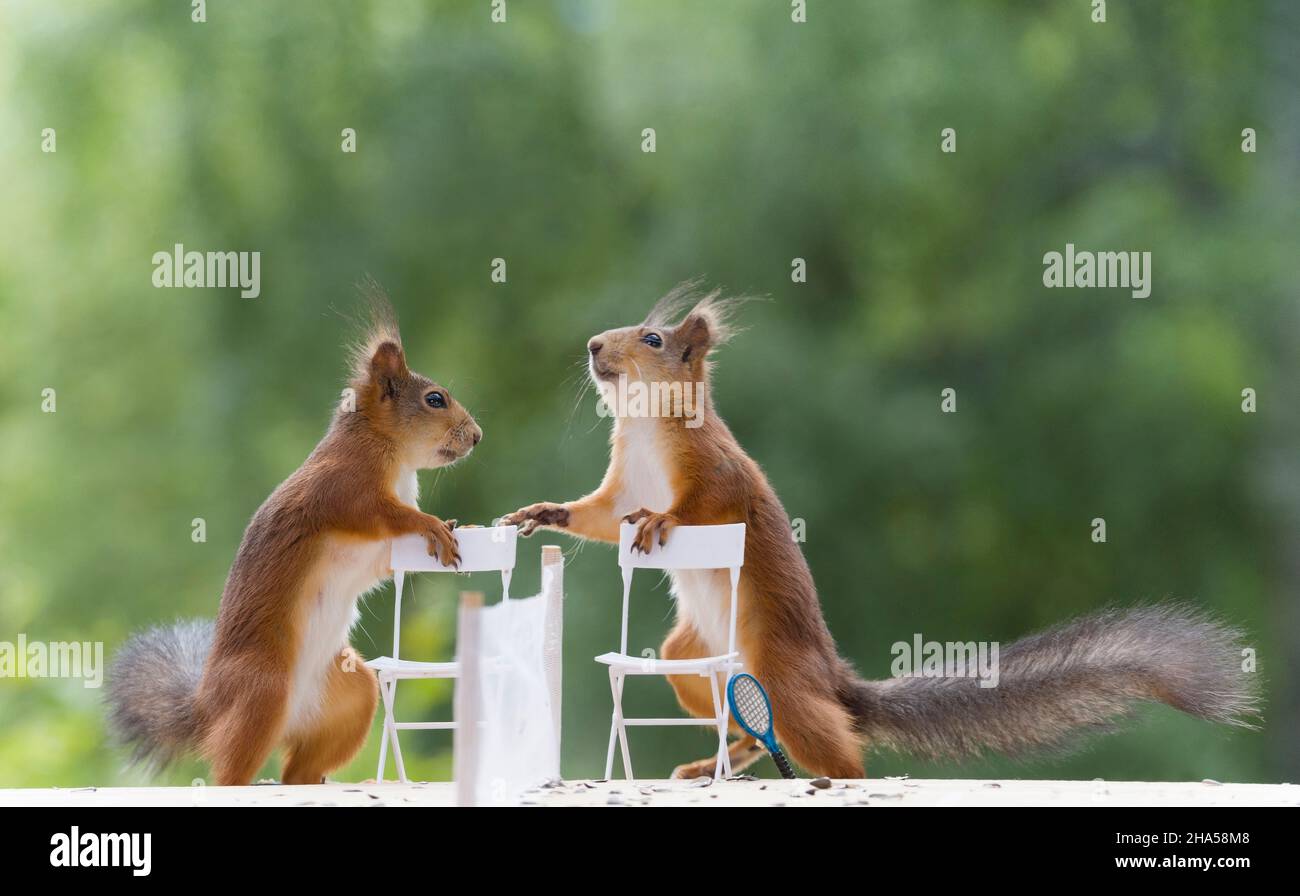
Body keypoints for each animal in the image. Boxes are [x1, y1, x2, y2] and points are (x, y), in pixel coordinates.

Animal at [106, 293, 481, 785]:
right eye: (435, 399)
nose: (477, 437)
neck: (391, 452)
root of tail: (209, 705)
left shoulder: (378, 550)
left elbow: (386, 561)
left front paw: (461, 528)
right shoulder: (343, 489)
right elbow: (385, 514)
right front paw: (432, 524)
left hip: (351, 693)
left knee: (298, 769)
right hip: (262, 689)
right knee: (231, 771)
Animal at [504, 284, 1260, 779]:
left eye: (654, 339)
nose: (593, 346)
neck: (644, 426)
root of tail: (829, 677)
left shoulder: (717, 473)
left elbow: (702, 512)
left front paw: (662, 519)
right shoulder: (622, 484)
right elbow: (599, 517)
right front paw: (543, 513)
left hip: (778, 676)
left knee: (838, 747)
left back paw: (831, 774)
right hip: (689, 661)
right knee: (736, 718)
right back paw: (724, 759)